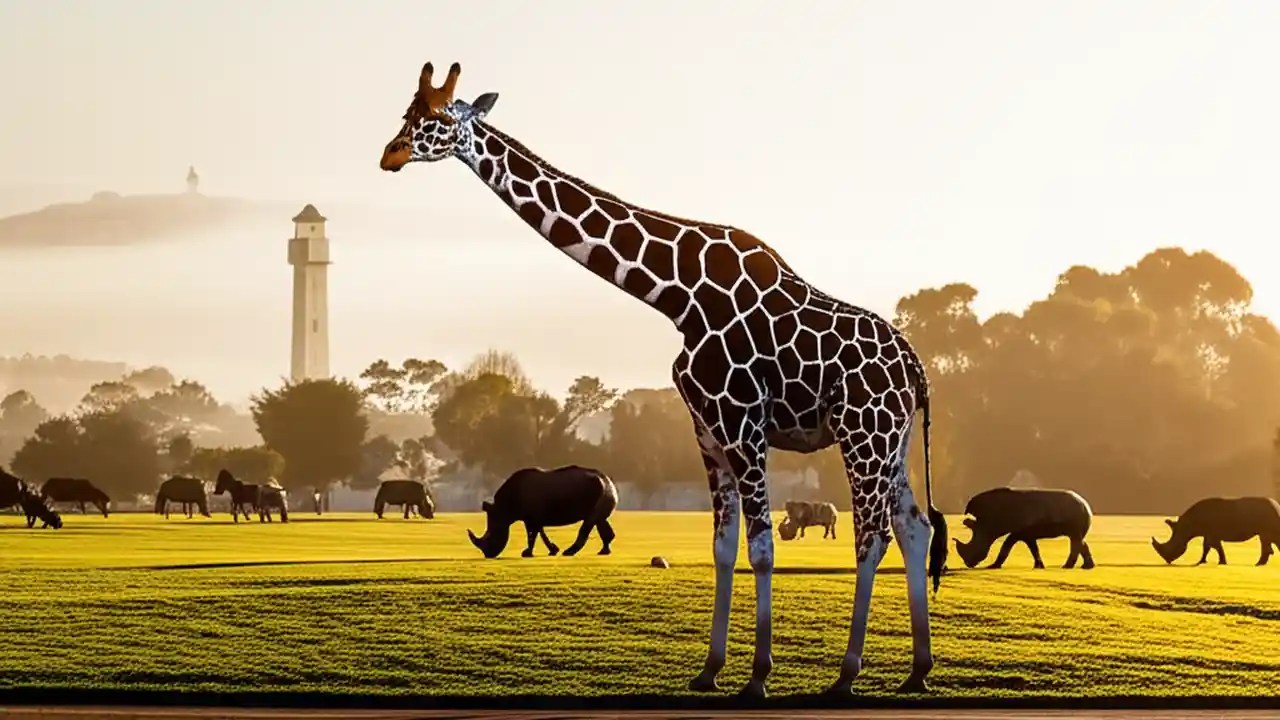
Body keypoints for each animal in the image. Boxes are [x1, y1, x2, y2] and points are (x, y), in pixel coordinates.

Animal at [379, 62, 949, 699]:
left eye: (435, 118)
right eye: (406, 113)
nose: (390, 154)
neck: (677, 296)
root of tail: (917, 369)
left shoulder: (741, 421)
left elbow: (761, 546)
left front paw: (758, 676)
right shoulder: (706, 427)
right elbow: (723, 547)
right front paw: (710, 669)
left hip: (862, 434)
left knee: (871, 536)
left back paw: (846, 676)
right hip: (892, 439)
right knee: (914, 526)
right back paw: (917, 670)